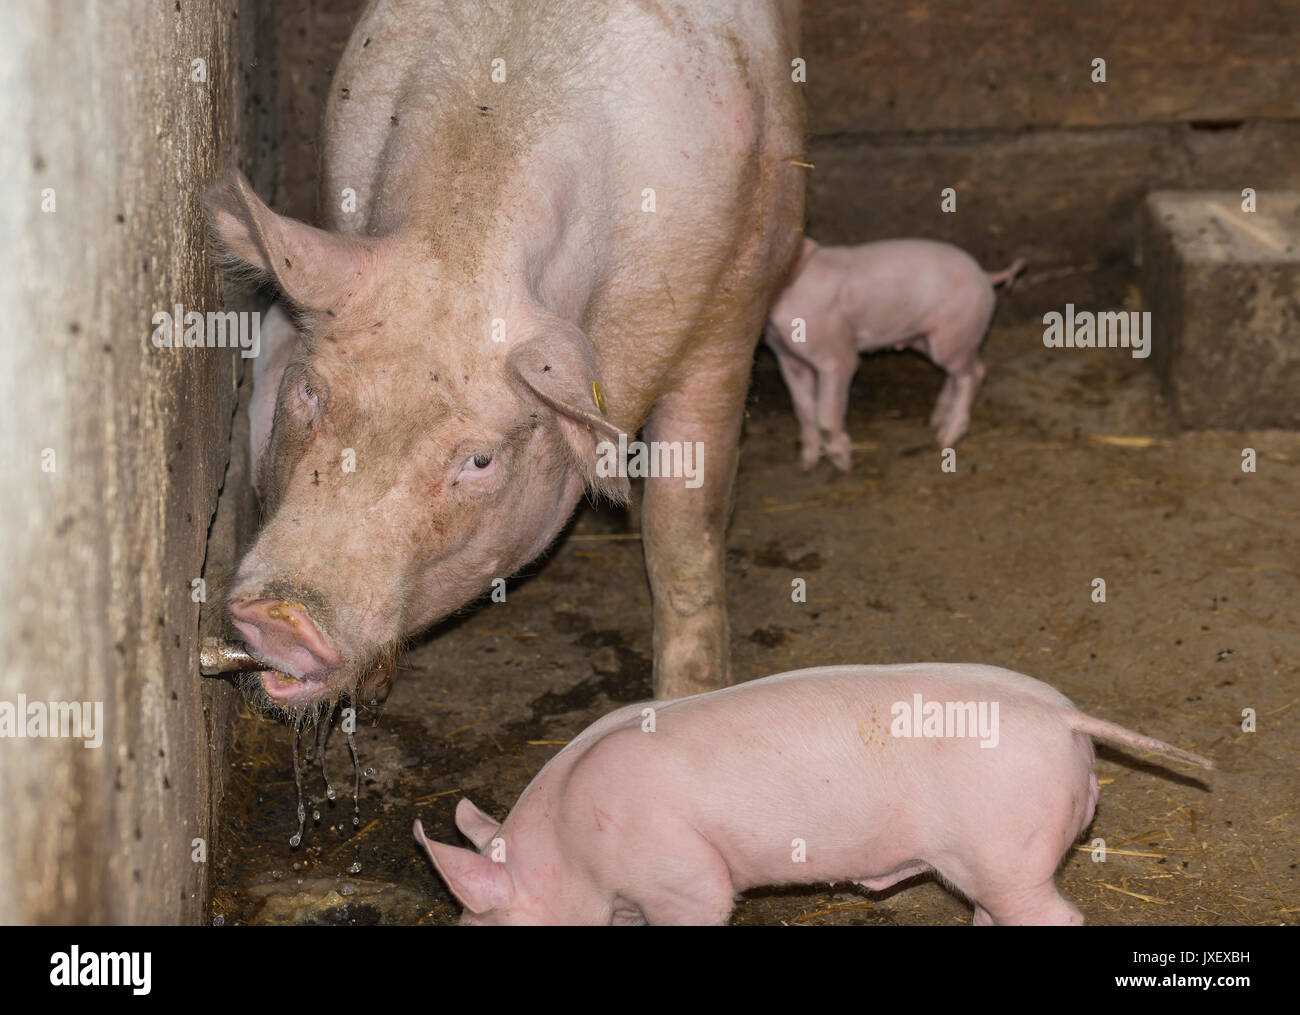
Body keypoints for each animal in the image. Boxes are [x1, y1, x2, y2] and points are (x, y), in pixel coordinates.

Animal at [205, 0, 804, 709]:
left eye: (480, 459)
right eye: (309, 394)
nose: (282, 617)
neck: (462, 241)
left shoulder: (726, 323)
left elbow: (682, 531)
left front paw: (686, 700)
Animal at [414, 663, 1211, 925]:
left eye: (486, 920)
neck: (572, 851)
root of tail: (1063, 715)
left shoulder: (685, 879)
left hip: (1007, 847)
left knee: (1058, 916)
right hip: (993, 859)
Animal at [765, 238, 1026, 471]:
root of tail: (985, 275)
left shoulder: (836, 353)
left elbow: (827, 414)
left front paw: (845, 465)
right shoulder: (787, 358)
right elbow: (804, 409)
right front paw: (805, 465)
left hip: (955, 332)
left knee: (974, 373)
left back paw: (944, 439)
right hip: (930, 340)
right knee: (958, 373)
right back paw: (935, 422)